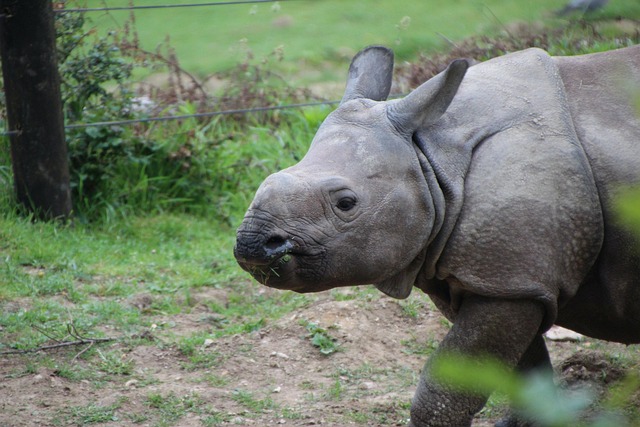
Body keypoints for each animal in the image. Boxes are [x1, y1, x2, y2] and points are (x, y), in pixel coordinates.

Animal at [234, 44, 640, 426]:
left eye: (346, 204)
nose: (252, 243)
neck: (434, 154)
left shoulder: (512, 278)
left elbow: (447, 387)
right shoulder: (506, 278)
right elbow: (521, 370)